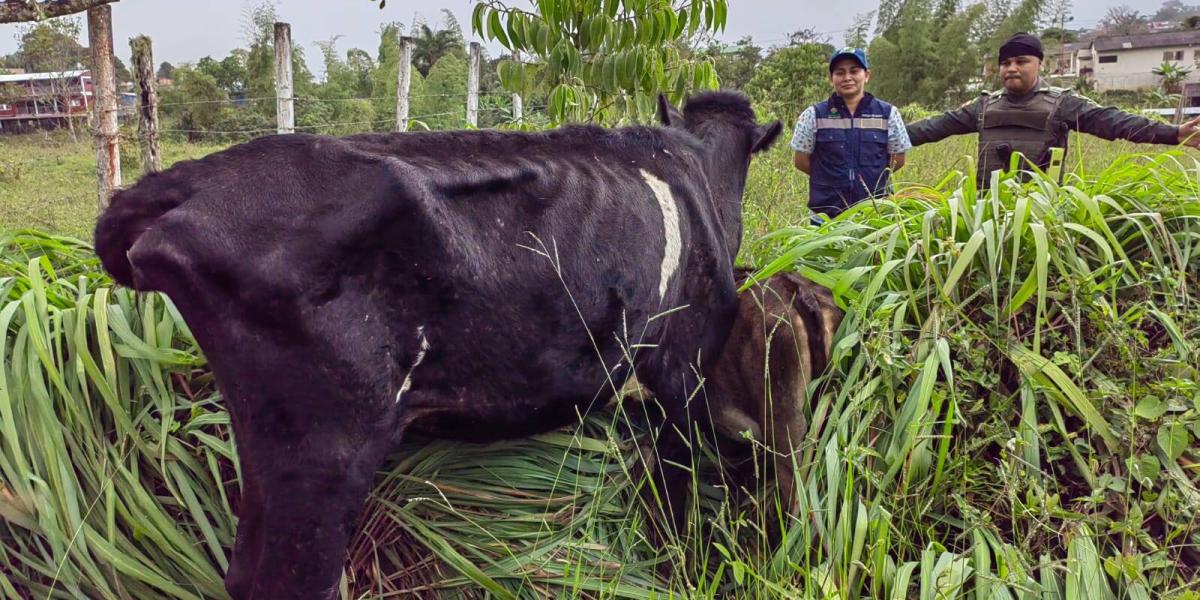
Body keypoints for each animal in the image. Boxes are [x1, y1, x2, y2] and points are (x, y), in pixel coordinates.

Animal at [93, 91, 782, 599]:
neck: (698, 179)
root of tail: (196, 178)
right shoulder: (682, 372)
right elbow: (677, 491)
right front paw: (681, 568)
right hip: (325, 455)